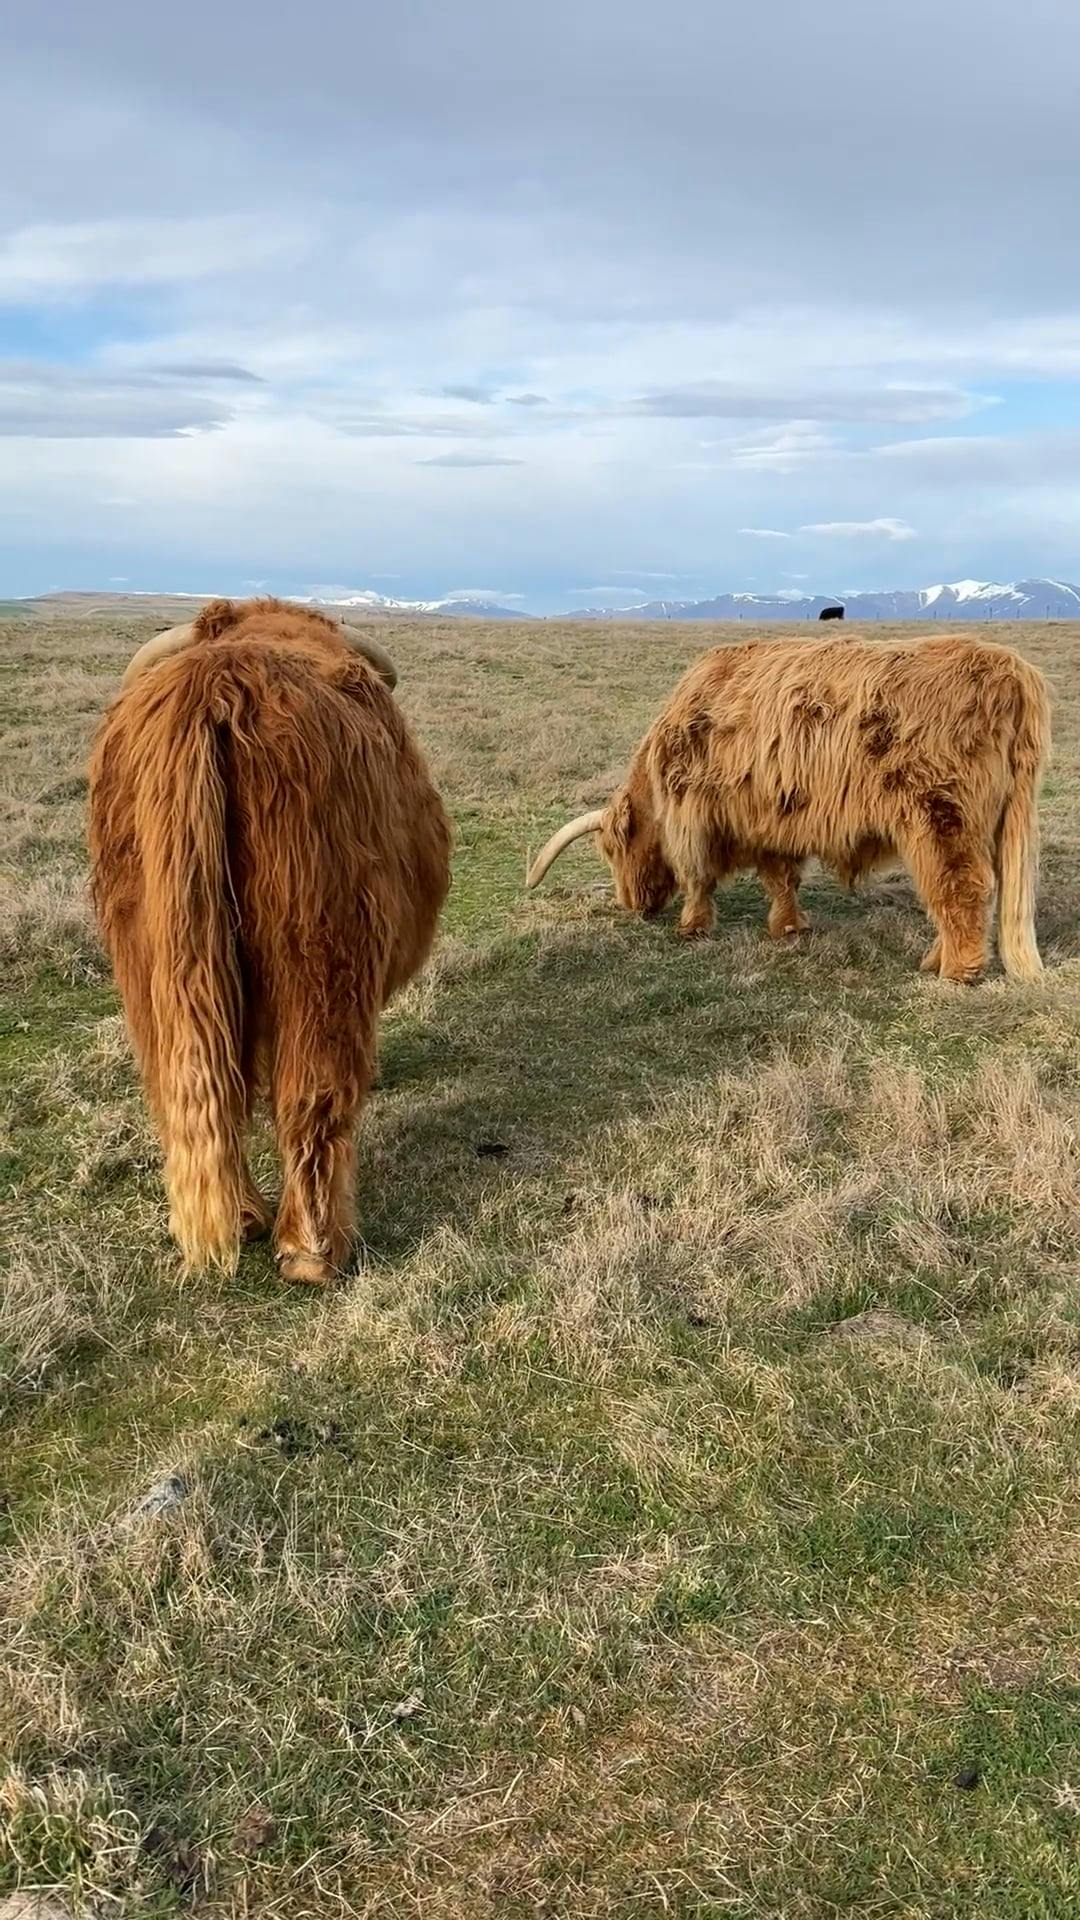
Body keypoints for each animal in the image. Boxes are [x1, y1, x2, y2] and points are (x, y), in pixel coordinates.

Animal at [88, 597, 451, 1283]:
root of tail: (215, 685)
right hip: (323, 943)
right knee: (313, 1090)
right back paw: (313, 1250)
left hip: (146, 951)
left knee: (190, 1092)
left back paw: (242, 1218)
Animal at [525, 631, 1049, 984]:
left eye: (612, 851)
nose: (631, 906)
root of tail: (1008, 667)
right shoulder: (774, 817)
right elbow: (781, 877)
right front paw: (789, 928)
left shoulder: (694, 813)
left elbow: (698, 876)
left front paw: (691, 927)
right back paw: (936, 959)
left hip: (940, 818)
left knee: (961, 886)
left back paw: (956, 971)